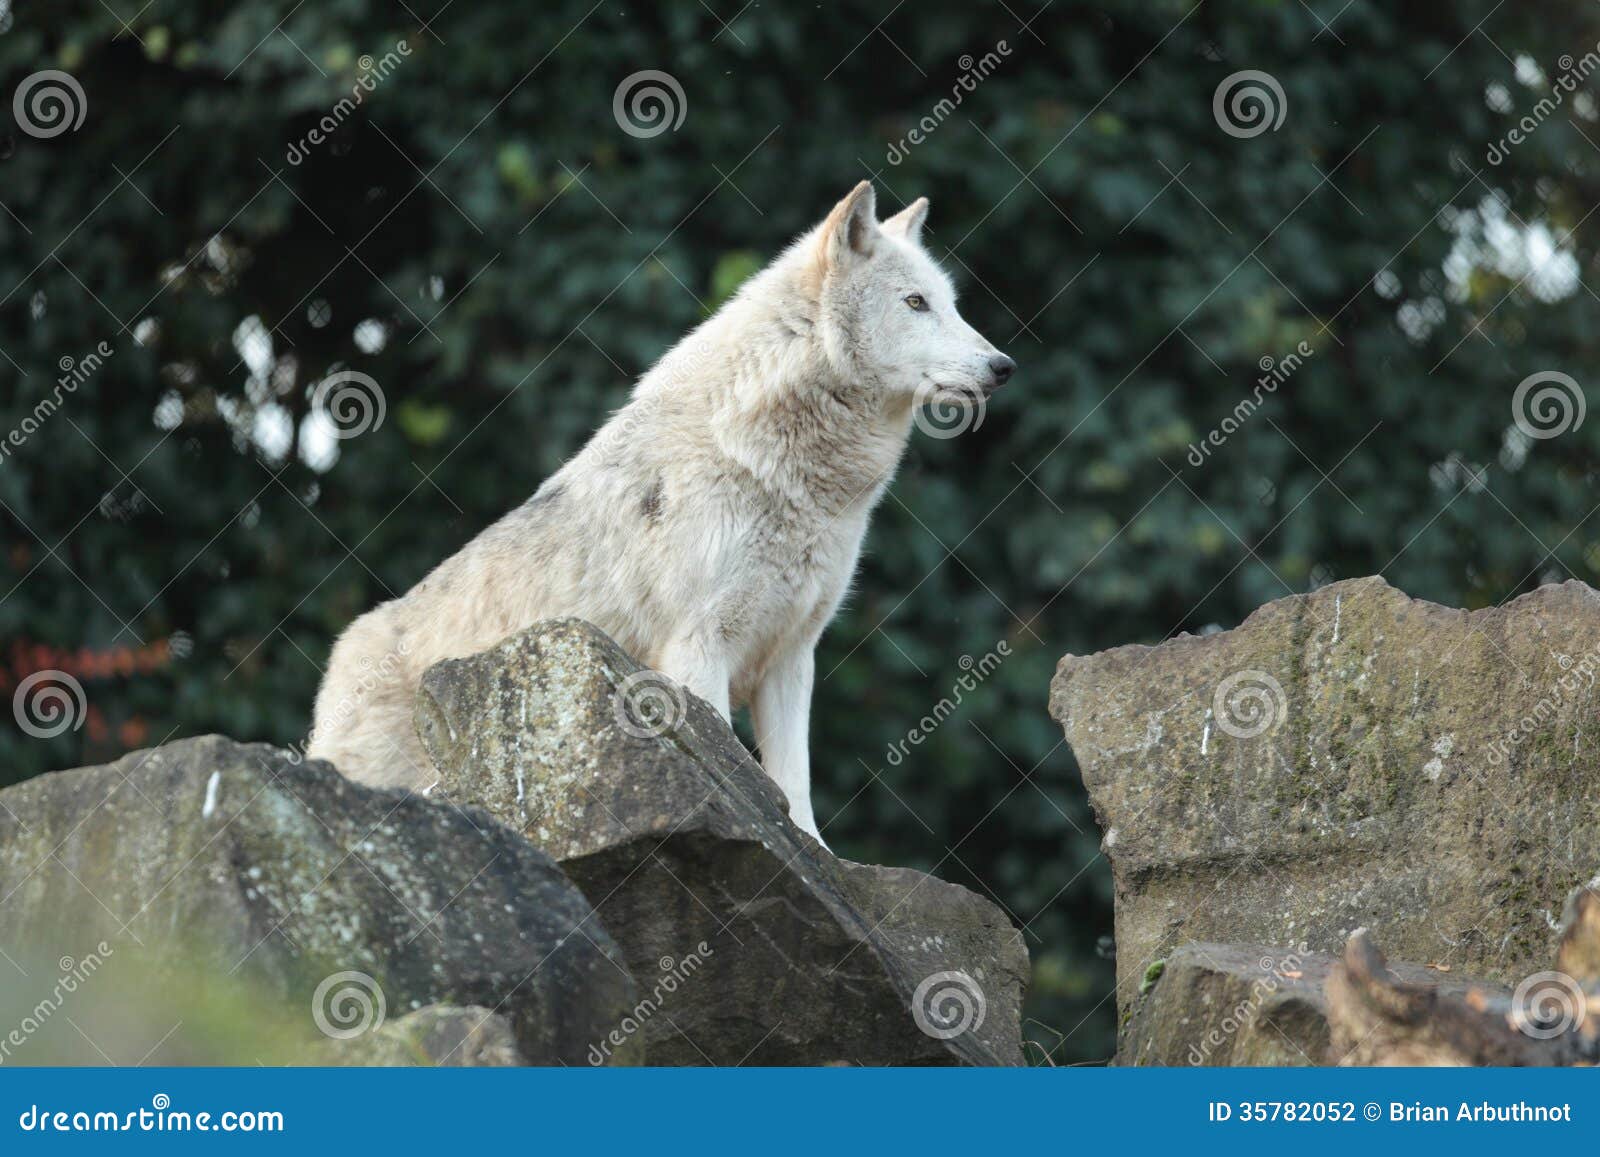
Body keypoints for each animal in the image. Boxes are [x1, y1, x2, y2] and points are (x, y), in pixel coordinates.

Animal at [307, 181, 1015, 843]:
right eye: (916, 303)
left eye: (952, 304)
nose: (1003, 365)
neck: (779, 472)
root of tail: (332, 678)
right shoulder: (696, 650)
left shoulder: (792, 656)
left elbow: (796, 789)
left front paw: (819, 857)